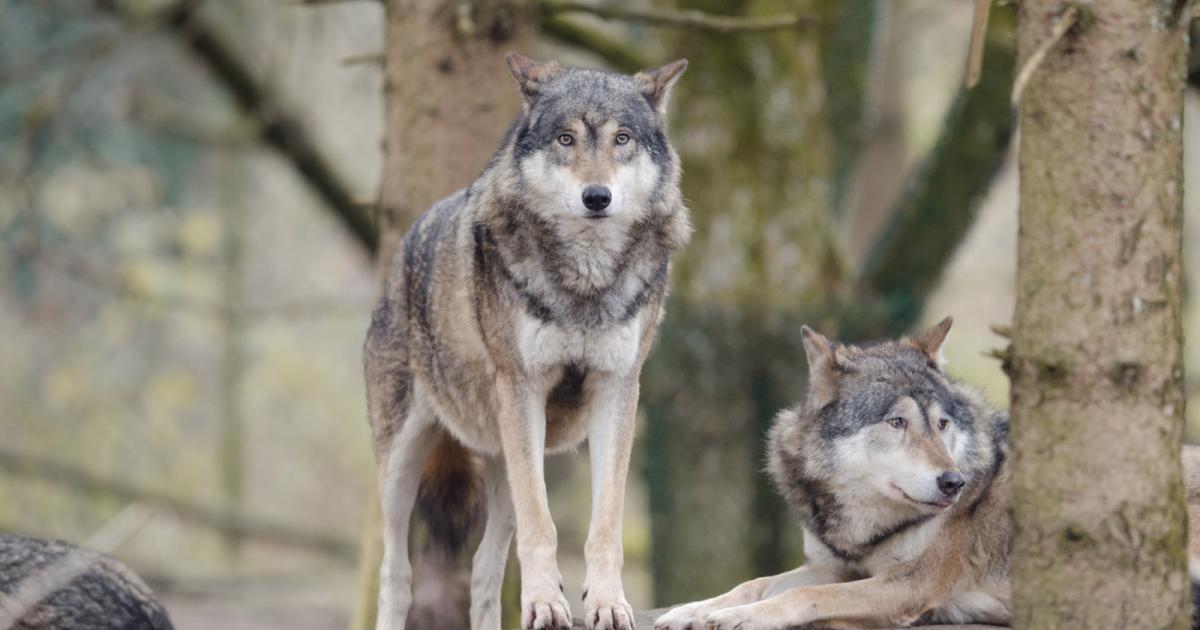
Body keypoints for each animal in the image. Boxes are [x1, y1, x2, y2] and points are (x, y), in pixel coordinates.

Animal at [364, 52, 691, 630]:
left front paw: (607, 603)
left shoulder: (618, 390)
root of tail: (401, 253)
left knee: (483, 574)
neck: (585, 280)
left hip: (510, 461)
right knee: (396, 576)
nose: (597, 197)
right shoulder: (523, 387)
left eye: (622, 138)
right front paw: (545, 602)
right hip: (405, 464)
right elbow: (543, 528)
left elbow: (605, 525)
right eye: (565, 139)